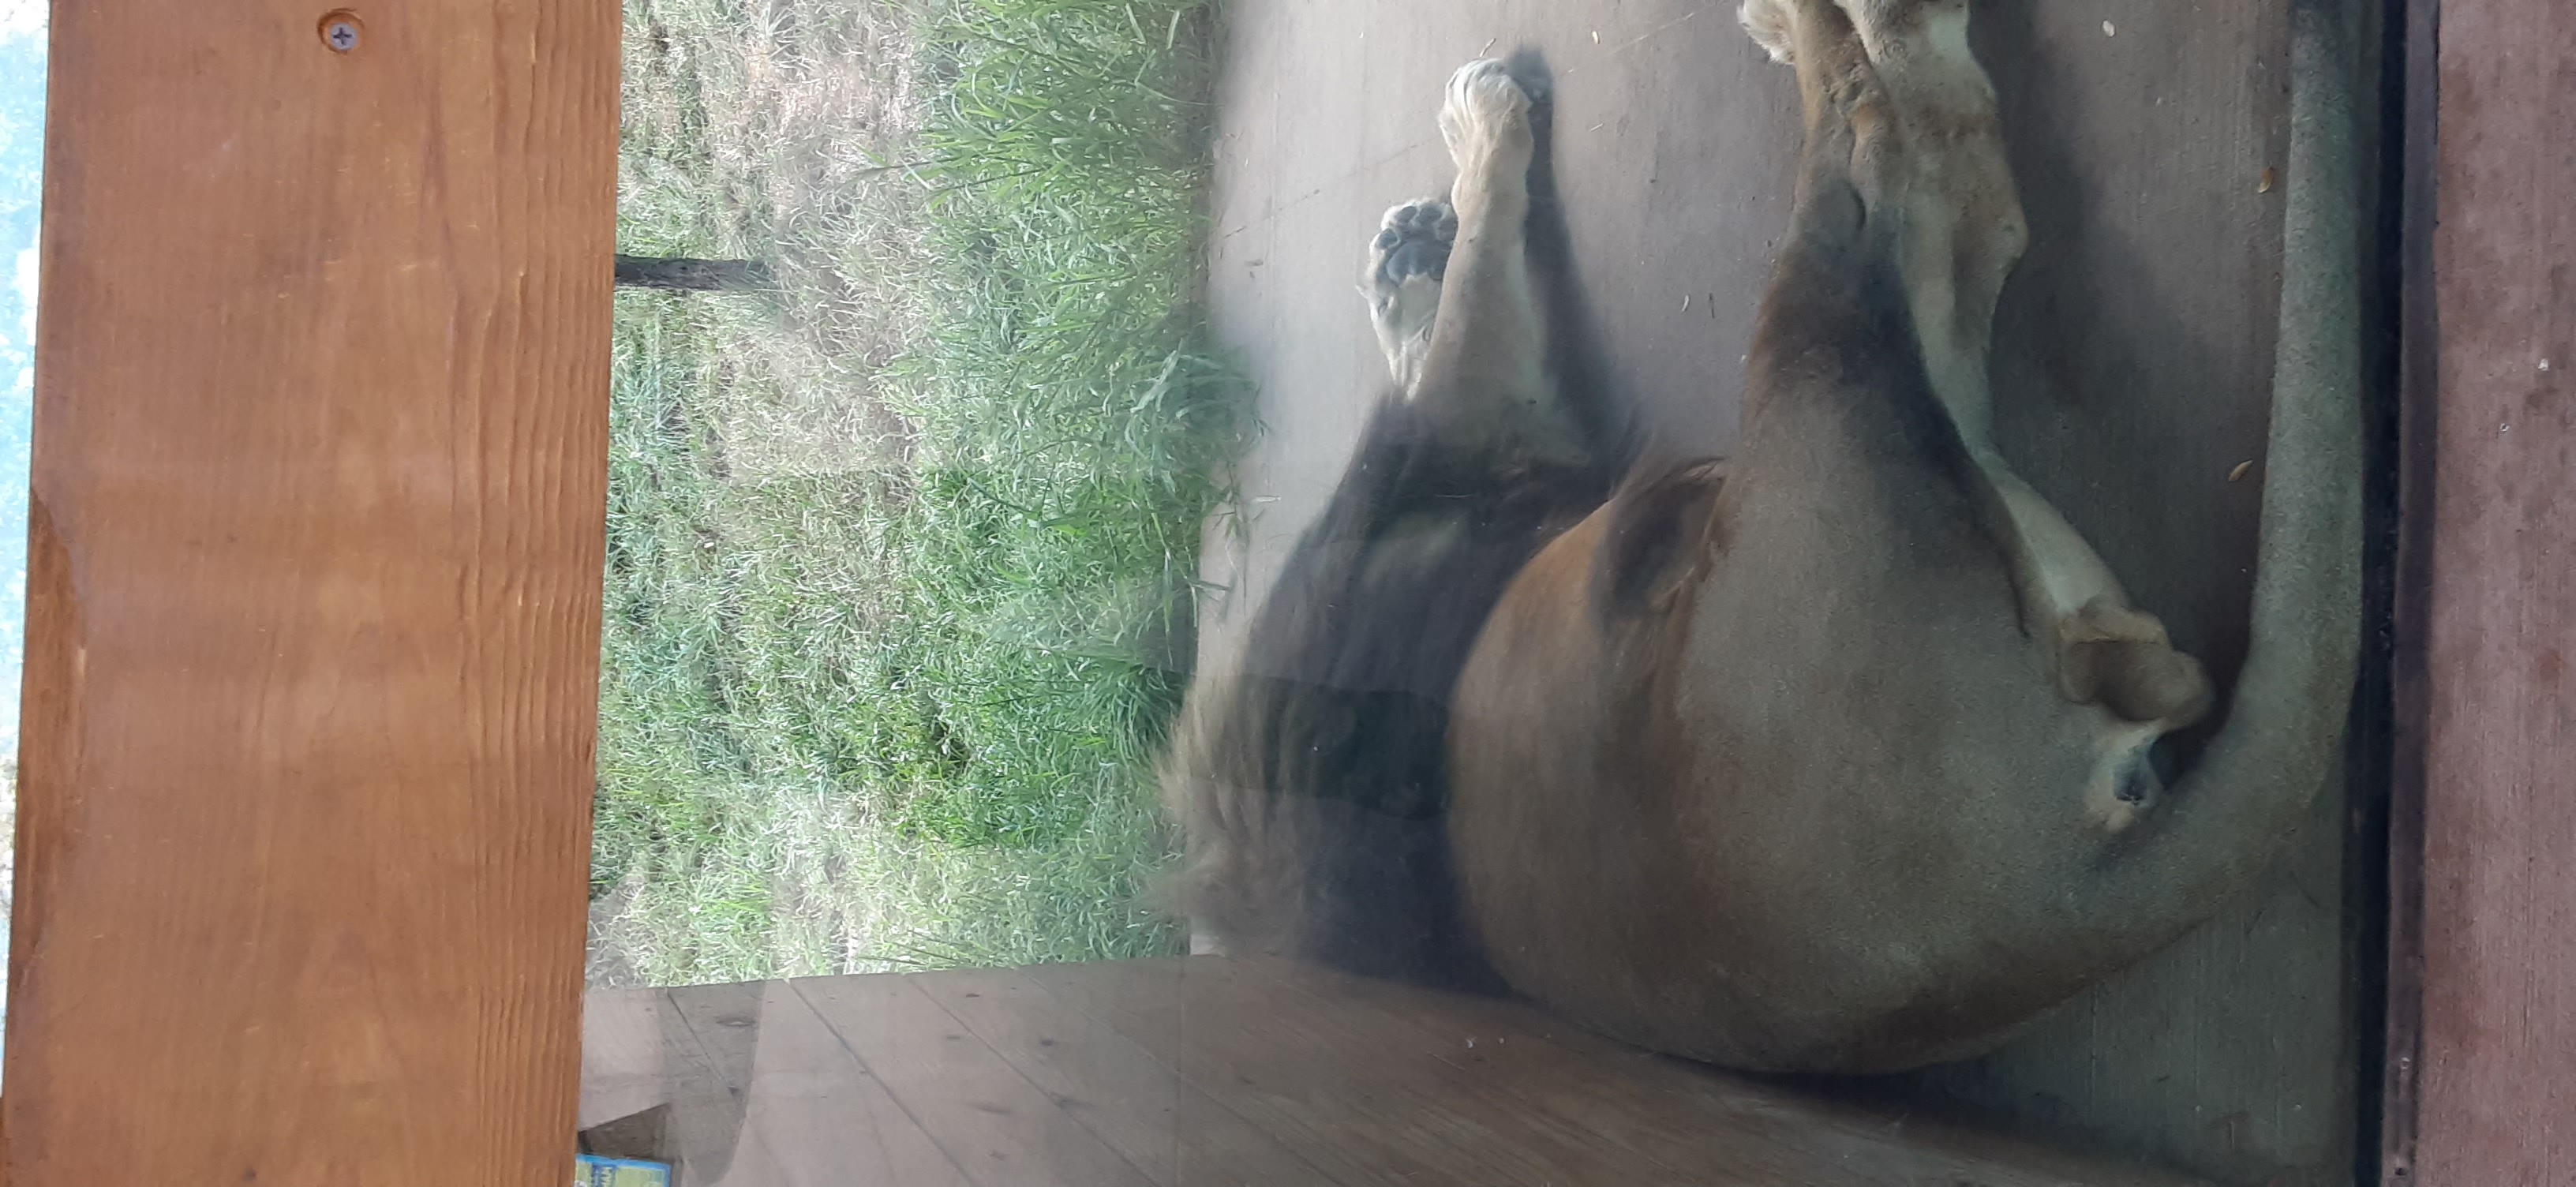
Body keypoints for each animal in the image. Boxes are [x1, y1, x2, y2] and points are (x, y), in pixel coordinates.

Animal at [1163, 0, 2361, 1075]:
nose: (1399, 240)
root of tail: (2039, 901)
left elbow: (1457, 295)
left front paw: (1413, 254)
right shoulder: (1492, 419)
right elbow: (1487, 246)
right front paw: (1477, 132)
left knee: (1932, 186)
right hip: (1818, 371)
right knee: (1910, 153)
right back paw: (1832, 25)